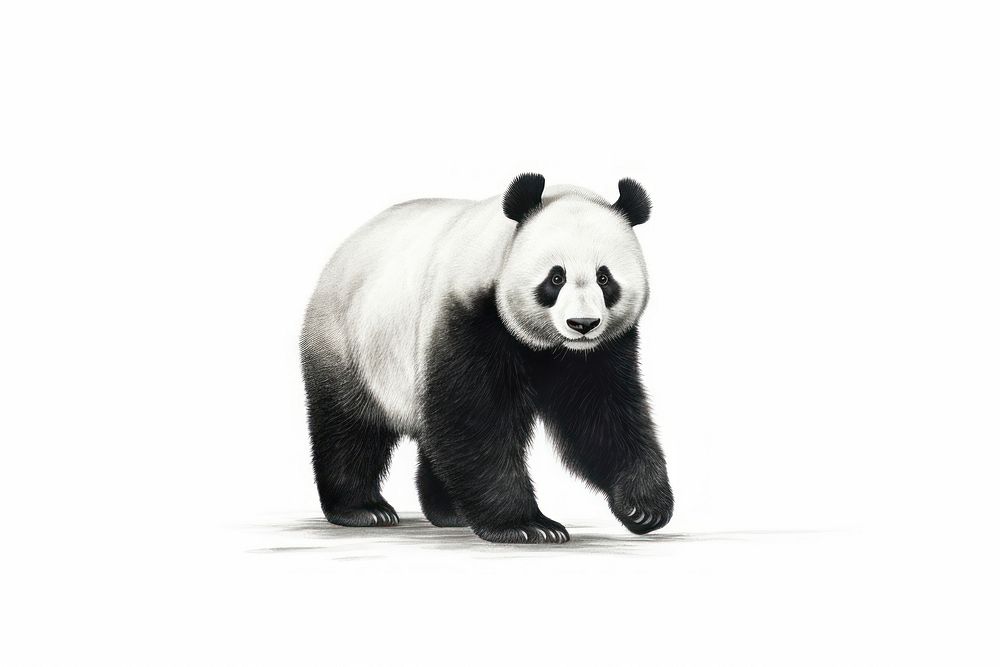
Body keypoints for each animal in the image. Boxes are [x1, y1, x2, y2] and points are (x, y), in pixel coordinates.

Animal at [300, 173, 673, 543]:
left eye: (604, 277)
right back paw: (363, 509)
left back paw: (449, 512)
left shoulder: (601, 351)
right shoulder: (468, 313)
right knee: (350, 428)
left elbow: (600, 414)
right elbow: (475, 418)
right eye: (556, 277)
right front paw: (528, 525)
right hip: (350, 345)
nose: (582, 324)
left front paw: (644, 507)